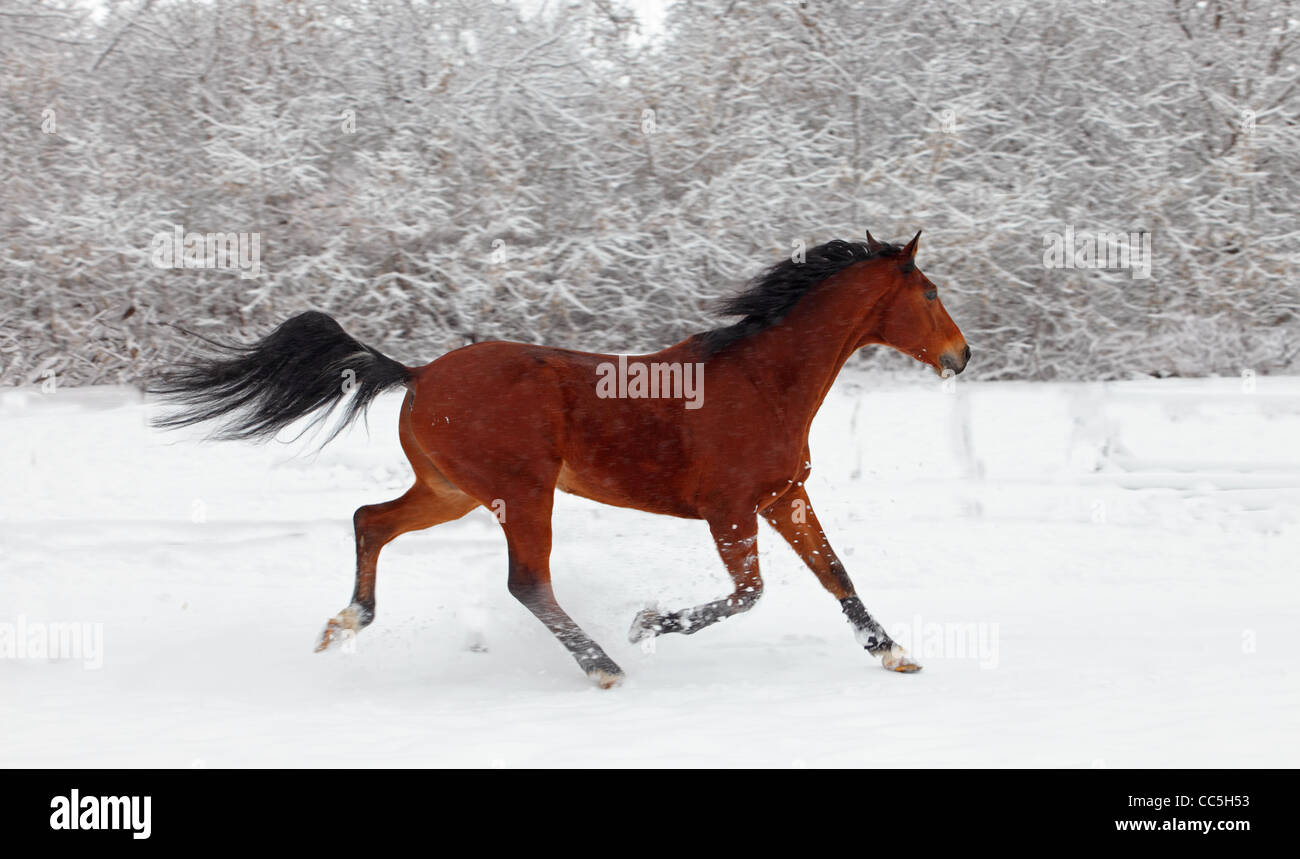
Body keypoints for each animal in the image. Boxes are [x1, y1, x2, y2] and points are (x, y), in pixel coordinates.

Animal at [152, 230, 969, 687]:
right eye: (929, 291)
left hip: (450, 491)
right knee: (526, 581)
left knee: (369, 521)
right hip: (522, 493)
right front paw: (649, 623)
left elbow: (837, 575)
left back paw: (344, 624)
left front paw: (894, 653)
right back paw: (604, 663)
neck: (765, 382)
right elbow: (749, 593)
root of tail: (417, 374)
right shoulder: (730, 509)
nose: (961, 356)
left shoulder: (784, 496)